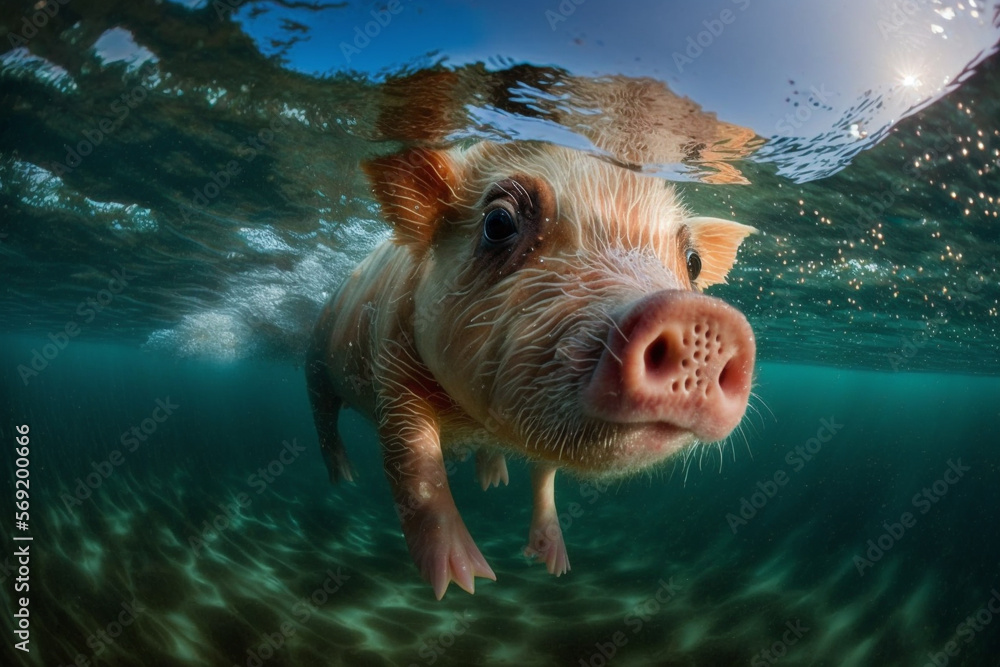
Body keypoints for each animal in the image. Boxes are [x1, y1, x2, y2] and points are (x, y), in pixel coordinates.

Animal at [306, 141, 756, 599]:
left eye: (693, 262)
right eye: (498, 223)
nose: (701, 314)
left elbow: (545, 477)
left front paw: (555, 567)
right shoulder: (391, 365)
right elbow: (415, 466)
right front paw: (466, 582)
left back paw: (494, 481)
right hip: (316, 354)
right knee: (324, 413)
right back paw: (345, 479)